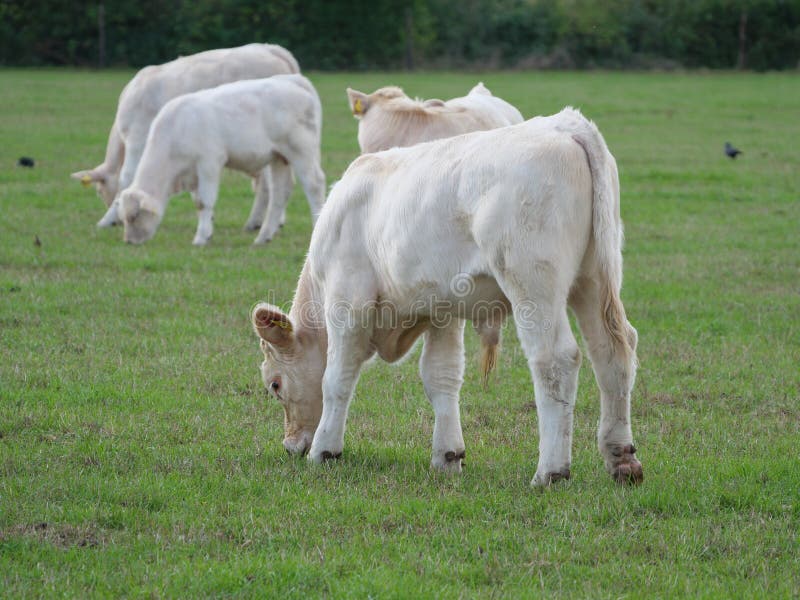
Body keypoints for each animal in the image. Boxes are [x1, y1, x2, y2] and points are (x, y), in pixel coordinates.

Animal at [71, 43, 300, 229]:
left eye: (99, 191)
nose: (120, 220)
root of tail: (272, 50)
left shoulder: (137, 138)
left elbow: (126, 179)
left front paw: (107, 219)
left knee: (266, 184)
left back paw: (254, 222)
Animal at [118, 74, 325, 246]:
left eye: (134, 216)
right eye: (124, 217)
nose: (129, 241)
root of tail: (294, 81)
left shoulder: (209, 162)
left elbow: (205, 200)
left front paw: (201, 237)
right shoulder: (193, 173)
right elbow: (198, 203)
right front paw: (208, 231)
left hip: (301, 152)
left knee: (314, 184)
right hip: (279, 157)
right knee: (280, 193)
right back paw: (263, 236)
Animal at [251, 107, 643, 487]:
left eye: (275, 384)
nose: (291, 446)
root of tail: (566, 124)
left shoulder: (348, 301)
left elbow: (336, 379)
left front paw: (325, 450)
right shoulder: (442, 312)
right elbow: (441, 376)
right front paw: (447, 456)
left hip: (533, 284)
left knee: (555, 360)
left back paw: (550, 471)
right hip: (594, 278)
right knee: (612, 353)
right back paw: (621, 457)